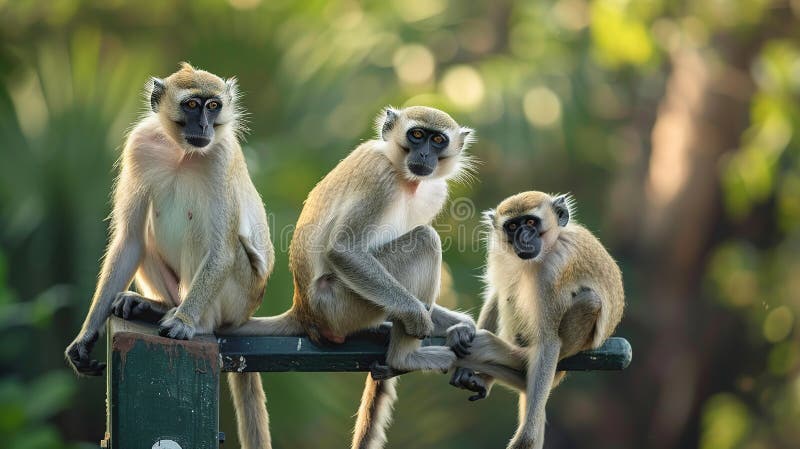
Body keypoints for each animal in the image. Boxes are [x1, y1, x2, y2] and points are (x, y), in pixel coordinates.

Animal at [64, 63, 275, 449]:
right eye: (191, 105)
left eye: (213, 106)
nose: (203, 126)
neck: (181, 152)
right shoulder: (139, 146)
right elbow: (130, 239)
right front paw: (85, 336)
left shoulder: (221, 156)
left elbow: (221, 250)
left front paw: (184, 322)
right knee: (146, 233)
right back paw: (155, 305)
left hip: (238, 295)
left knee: (202, 235)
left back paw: (193, 320)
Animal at [226, 106, 478, 449]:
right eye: (416, 135)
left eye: (438, 140)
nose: (424, 153)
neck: (405, 178)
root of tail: (303, 309)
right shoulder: (380, 179)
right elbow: (343, 250)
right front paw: (418, 318)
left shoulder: (434, 191)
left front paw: (461, 327)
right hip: (339, 304)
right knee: (425, 240)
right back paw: (403, 357)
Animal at [449, 191, 625, 449]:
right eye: (512, 226)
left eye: (531, 222)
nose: (523, 237)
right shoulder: (499, 252)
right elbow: (497, 293)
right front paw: (466, 369)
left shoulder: (554, 271)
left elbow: (548, 343)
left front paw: (526, 438)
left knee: (589, 301)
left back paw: (505, 354)